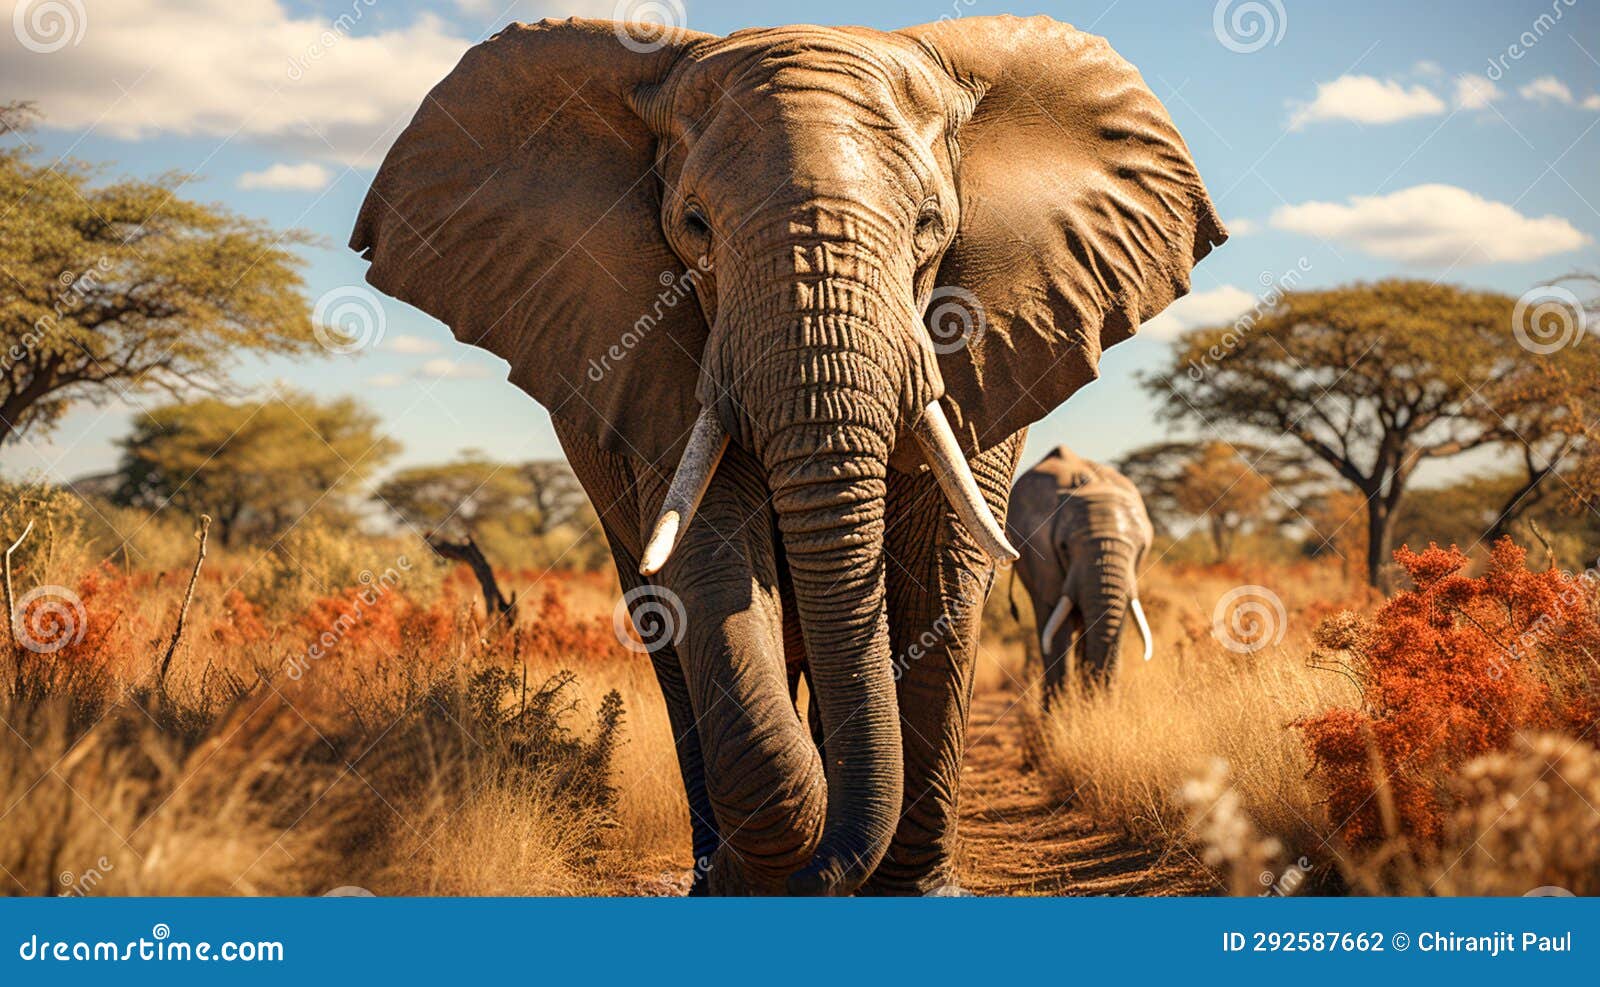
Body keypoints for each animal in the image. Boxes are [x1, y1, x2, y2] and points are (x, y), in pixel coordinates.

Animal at [1007, 446, 1155, 705]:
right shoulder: (1043, 563)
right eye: (1064, 547)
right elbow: (1056, 632)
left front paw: (1094, 709)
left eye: (1141, 549)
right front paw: (1063, 713)